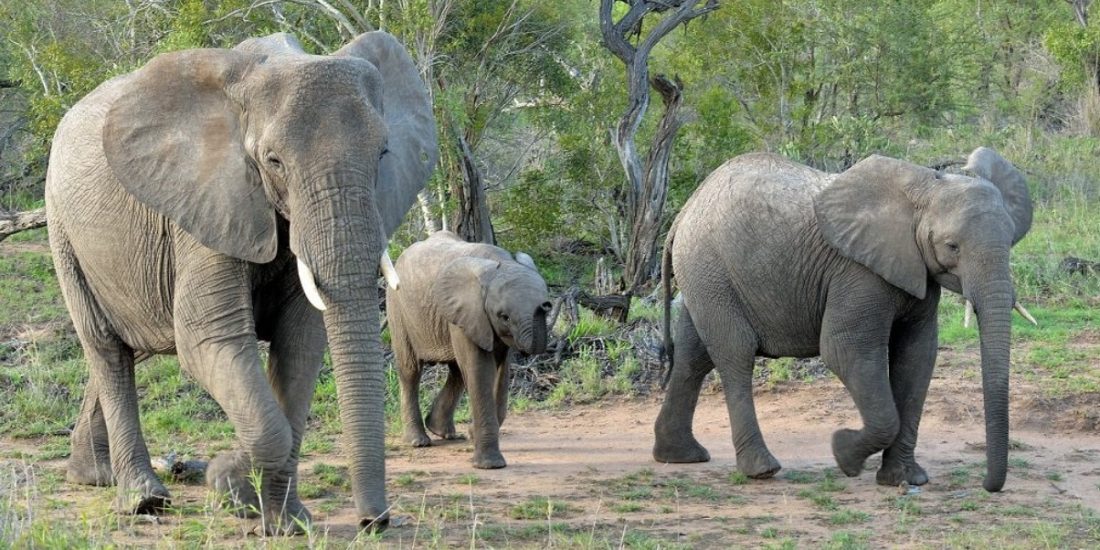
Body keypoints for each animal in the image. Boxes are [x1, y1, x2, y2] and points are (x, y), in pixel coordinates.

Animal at [45, 31, 437, 533]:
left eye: (383, 155)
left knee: (129, 347)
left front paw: (286, 523)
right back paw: (143, 500)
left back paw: (92, 475)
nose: (375, 522)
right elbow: (208, 340)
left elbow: (300, 345)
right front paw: (228, 483)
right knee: (107, 349)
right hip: (63, 230)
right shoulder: (208, 205)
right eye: (273, 161)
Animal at [386, 231, 552, 469]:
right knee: (411, 370)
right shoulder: (469, 312)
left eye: (545, 308)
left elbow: (501, 371)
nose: (545, 305)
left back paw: (443, 432)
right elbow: (481, 368)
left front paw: (473, 434)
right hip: (397, 307)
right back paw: (418, 442)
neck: (499, 264)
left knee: (457, 371)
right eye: (504, 316)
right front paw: (491, 465)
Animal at [653, 147, 1032, 493]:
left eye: (1011, 240)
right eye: (952, 246)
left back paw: (679, 456)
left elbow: (917, 356)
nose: (988, 486)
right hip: (711, 268)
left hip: (704, 275)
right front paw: (843, 454)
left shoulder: (916, 270)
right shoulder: (857, 272)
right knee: (735, 354)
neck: (922, 189)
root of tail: (684, 212)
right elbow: (845, 349)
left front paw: (905, 479)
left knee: (693, 355)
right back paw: (761, 470)